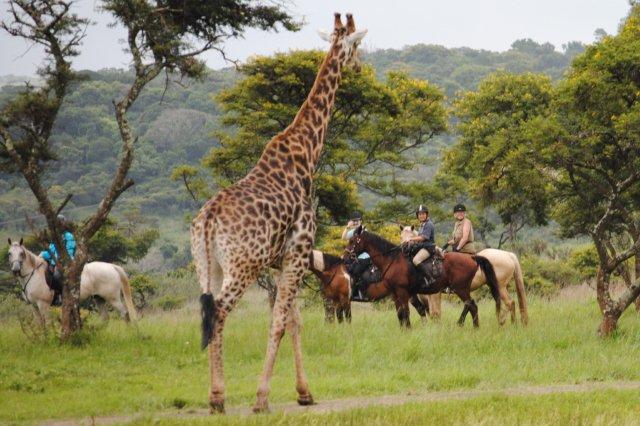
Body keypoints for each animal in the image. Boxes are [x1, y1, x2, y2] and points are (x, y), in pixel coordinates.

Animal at [6, 236, 138, 326]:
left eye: (22, 253)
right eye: (9, 253)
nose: (15, 269)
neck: (33, 274)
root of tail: (112, 266)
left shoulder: (43, 304)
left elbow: (47, 323)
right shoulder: (34, 306)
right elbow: (40, 325)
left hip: (112, 298)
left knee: (125, 313)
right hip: (99, 298)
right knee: (105, 318)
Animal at [190, 12, 368, 412]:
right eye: (357, 47)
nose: (360, 68)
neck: (305, 154)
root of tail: (208, 220)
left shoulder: (282, 259)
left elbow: (293, 321)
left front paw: (305, 393)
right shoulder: (299, 252)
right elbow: (279, 321)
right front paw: (262, 398)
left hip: (208, 265)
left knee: (207, 311)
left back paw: (215, 396)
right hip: (242, 265)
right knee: (219, 312)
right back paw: (219, 397)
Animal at [308, 250, 440, 322]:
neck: (334, 272)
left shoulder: (344, 299)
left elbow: (347, 318)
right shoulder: (332, 300)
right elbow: (333, 319)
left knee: (422, 310)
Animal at [344, 228, 500, 328]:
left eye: (353, 241)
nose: (345, 258)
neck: (392, 260)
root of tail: (472, 257)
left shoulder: (402, 292)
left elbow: (406, 312)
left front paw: (408, 330)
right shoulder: (395, 293)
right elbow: (400, 313)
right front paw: (403, 330)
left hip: (460, 288)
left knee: (471, 305)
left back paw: (473, 327)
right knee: (470, 305)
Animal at [400, 226, 528, 326]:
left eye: (411, 237)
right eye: (401, 237)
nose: (405, 248)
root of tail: (508, 254)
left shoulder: (434, 294)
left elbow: (434, 312)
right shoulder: (422, 295)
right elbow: (423, 309)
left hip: (499, 287)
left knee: (509, 303)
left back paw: (505, 322)